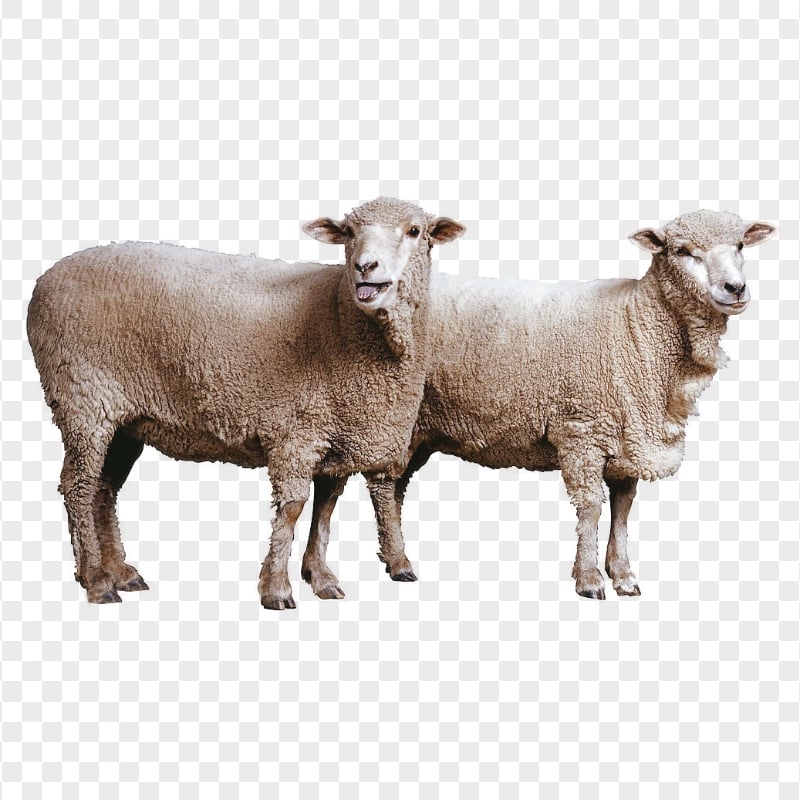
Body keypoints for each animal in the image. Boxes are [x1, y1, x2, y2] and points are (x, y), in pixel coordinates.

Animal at [26, 198, 466, 609]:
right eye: (350, 232)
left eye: (414, 231)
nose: (365, 266)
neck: (342, 318)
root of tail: (45, 280)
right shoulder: (297, 432)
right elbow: (293, 507)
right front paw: (277, 588)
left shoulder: (337, 435)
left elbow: (325, 509)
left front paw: (320, 577)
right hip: (83, 399)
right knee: (79, 486)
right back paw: (97, 580)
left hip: (124, 419)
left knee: (104, 488)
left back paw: (120, 572)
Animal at [300, 211, 777, 600]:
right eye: (681, 250)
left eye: (739, 245)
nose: (736, 288)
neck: (637, 324)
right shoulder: (582, 430)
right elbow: (591, 507)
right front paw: (590, 579)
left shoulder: (628, 436)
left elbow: (623, 509)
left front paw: (623, 575)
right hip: (395, 416)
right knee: (382, 485)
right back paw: (399, 563)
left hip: (419, 426)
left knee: (393, 488)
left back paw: (386, 557)